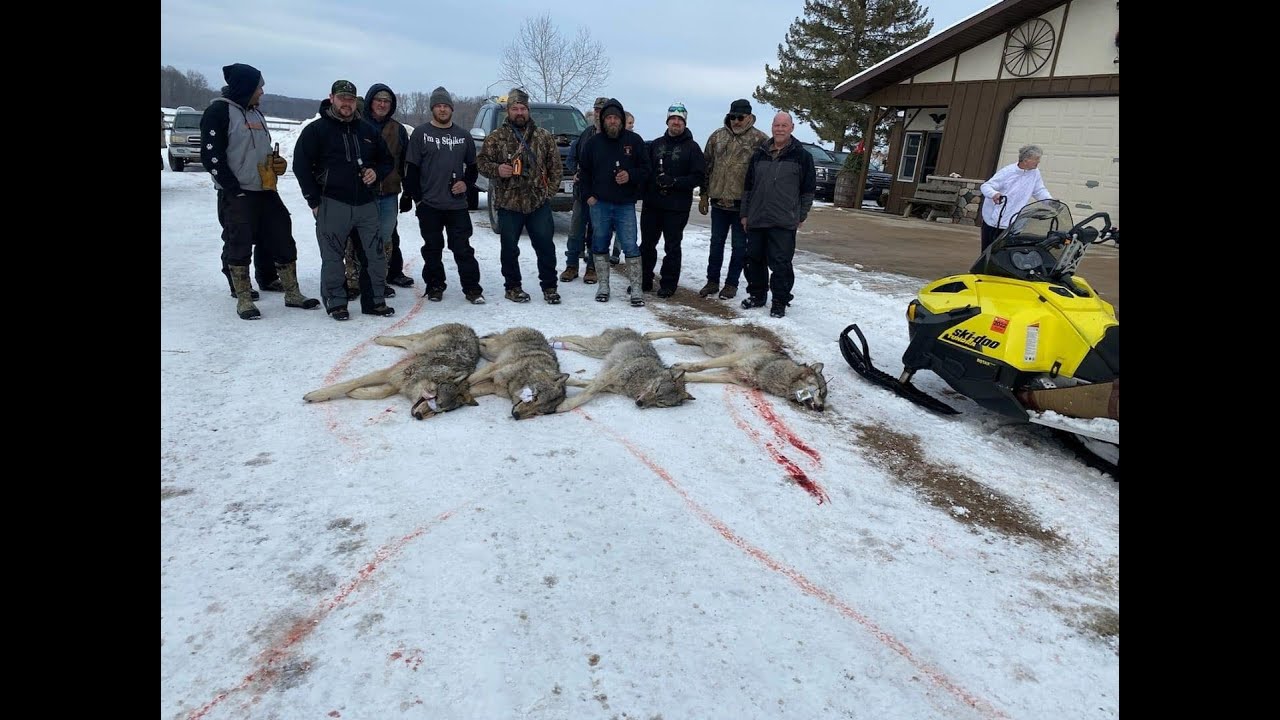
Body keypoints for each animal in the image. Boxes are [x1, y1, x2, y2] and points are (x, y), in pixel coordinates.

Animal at [302, 323, 481, 419]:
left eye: (439, 412)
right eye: (436, 399)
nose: (419, 417)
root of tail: (471, 330)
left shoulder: (398, 381)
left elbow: (380, 392)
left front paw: (357, 393)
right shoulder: (391, 374)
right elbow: (349, 384)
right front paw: (315, 395)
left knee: (411, 339)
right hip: (420, 345)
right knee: (409, 339)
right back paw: (381, 339)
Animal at [549, 328, 695, 411]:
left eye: (660, 403)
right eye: (656, 389)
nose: (639, 403)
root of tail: (629, 329)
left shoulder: (606, 384)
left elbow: (582, 383)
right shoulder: (606, 378)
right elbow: (587, 394)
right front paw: (563, 406)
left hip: (594, 352)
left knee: (577, 345)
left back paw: (558, 344)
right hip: (597, 347)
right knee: (577, 337)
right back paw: (555, 339)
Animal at [644, 325, 827, 411]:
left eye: (824, 396)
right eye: (819, 391)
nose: (821, 409)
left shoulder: (730, 376)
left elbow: (699, 376)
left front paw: (680, 375)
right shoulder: (734, 358)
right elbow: (699, 366)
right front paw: (680, 367)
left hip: (710, 347)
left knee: (690, 338)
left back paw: (682, 341)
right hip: (711, 338)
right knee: (686, 332)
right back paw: (650, 335)